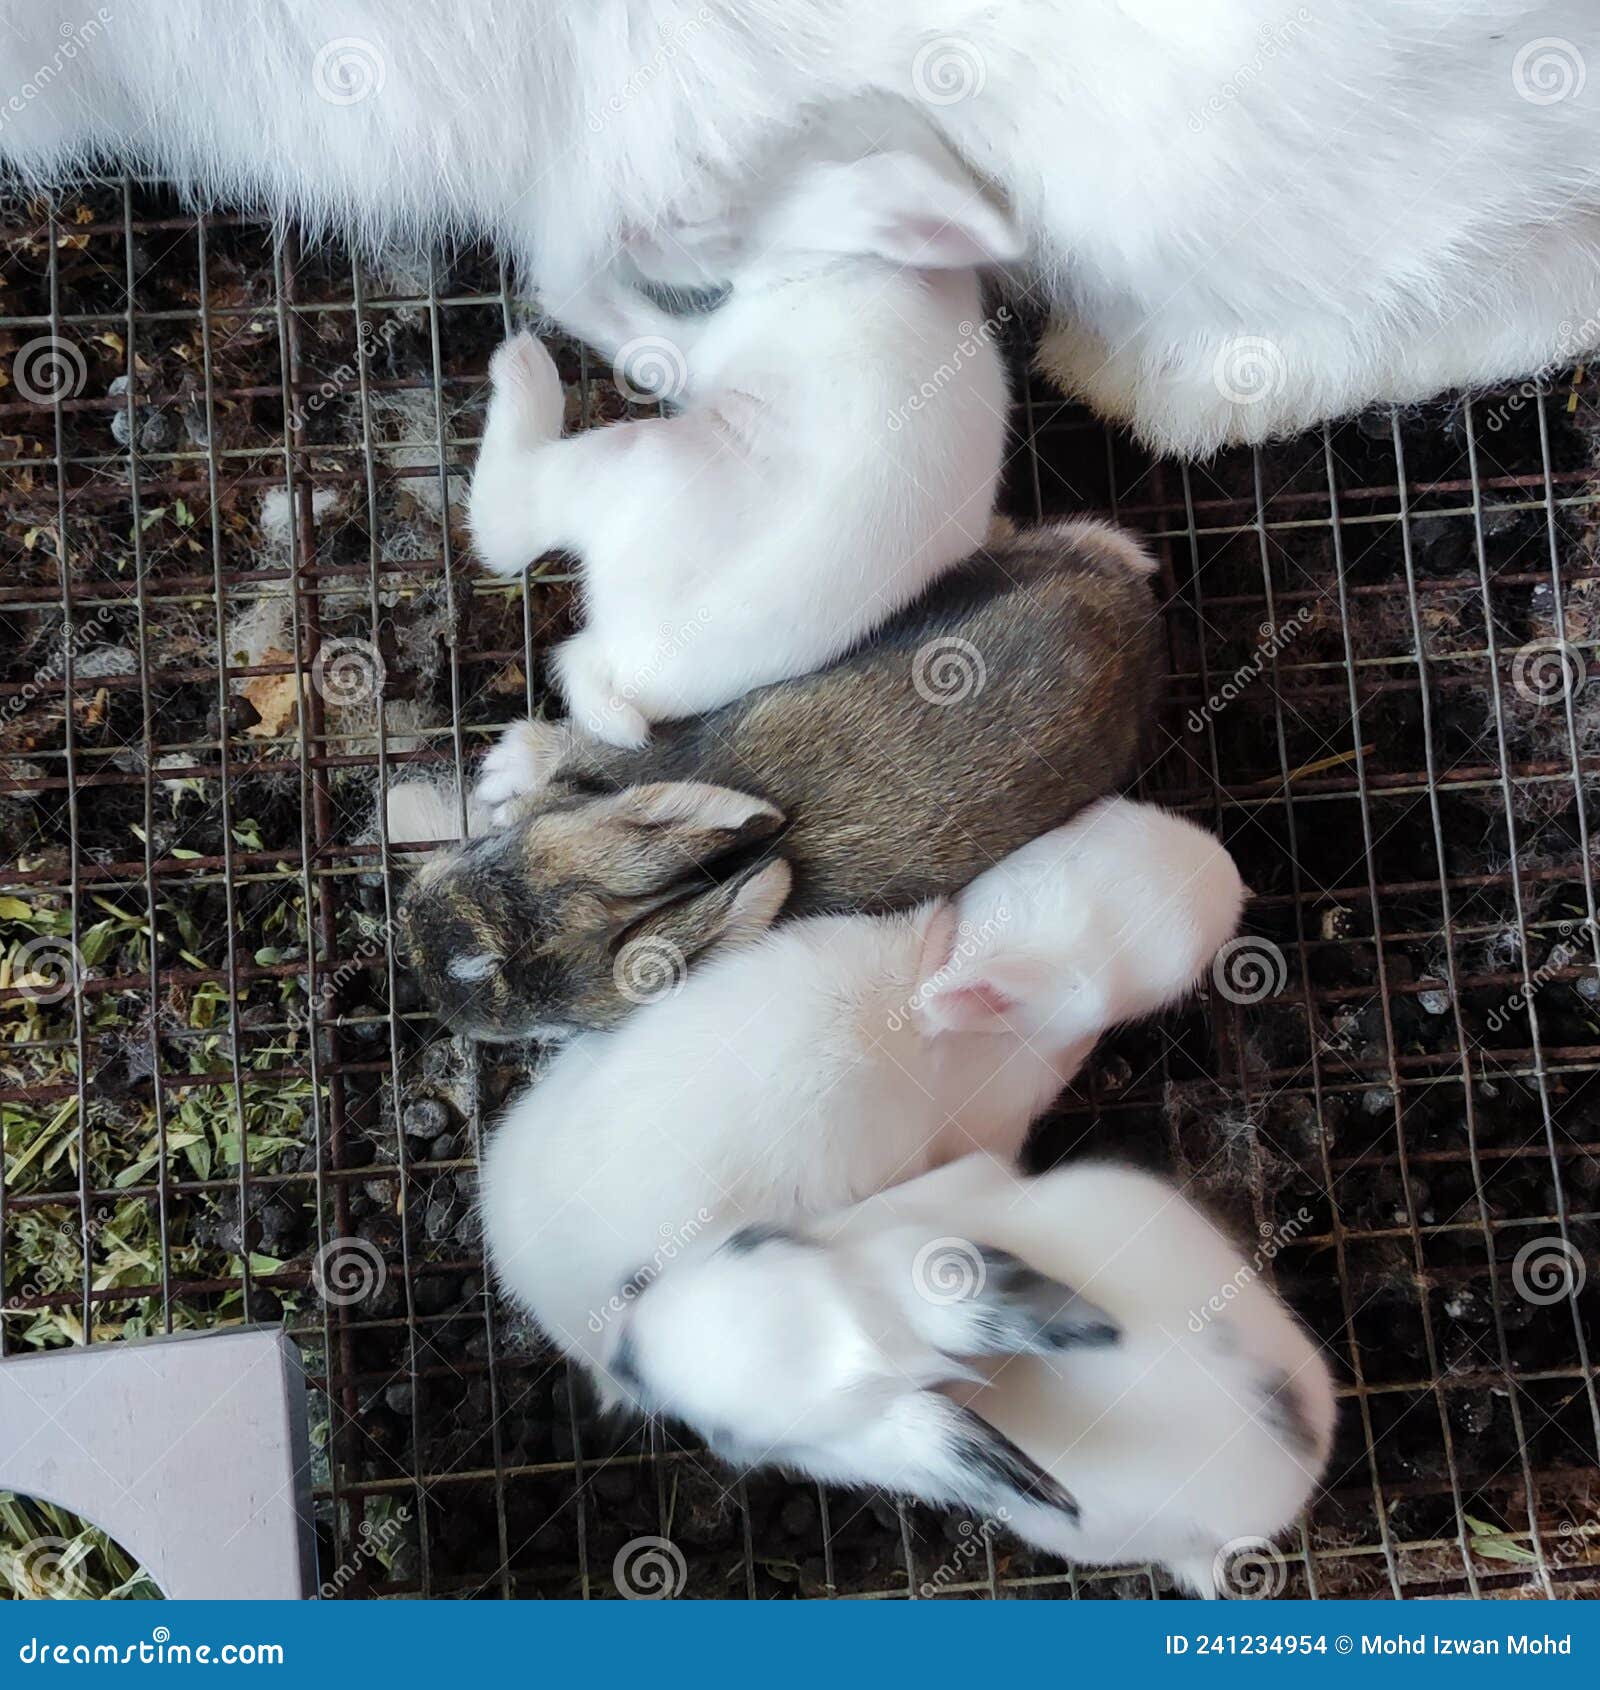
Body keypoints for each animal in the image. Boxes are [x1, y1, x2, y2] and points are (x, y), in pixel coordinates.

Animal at [466, 139, 1020, 747]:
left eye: (714, 224)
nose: (632, 236)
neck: (848, 259)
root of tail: (622, 651)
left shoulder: (699, 351)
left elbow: (641, 337)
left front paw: (564, 286)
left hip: (627, 459)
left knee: (505, 527)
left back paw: (524, 363)